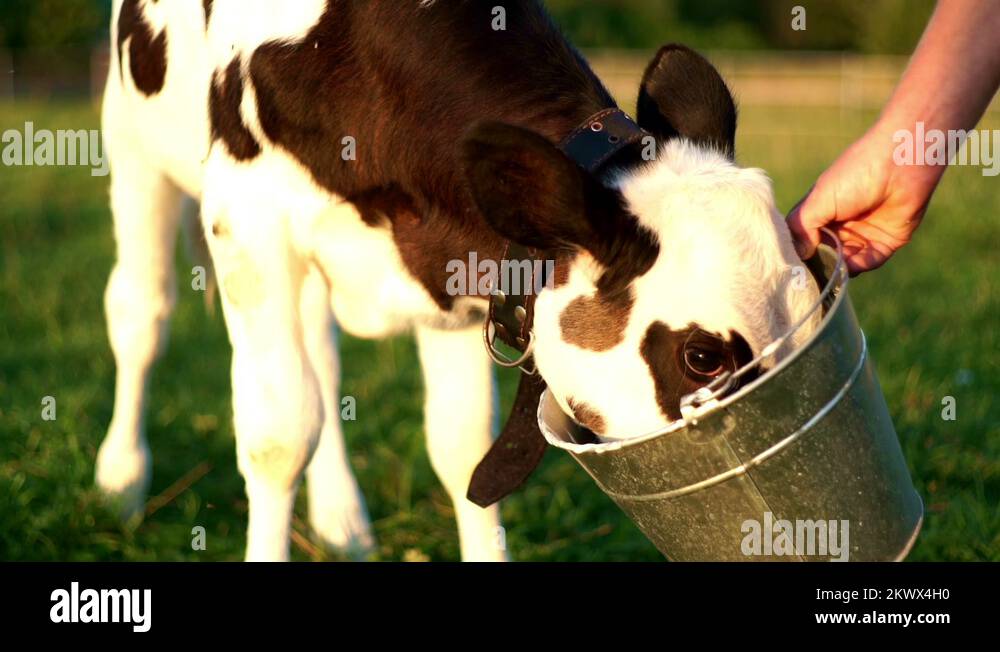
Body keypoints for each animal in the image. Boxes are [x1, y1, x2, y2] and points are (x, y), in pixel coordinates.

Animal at [95, 0, 820, 561]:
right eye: (700, 358)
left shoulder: (457, 275)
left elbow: (461, 446)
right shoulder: (248, 226)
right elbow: (280, 434)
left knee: (322, 360)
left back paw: (341, 521)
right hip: (132, 145)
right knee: (141, 315)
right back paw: (120, 483)